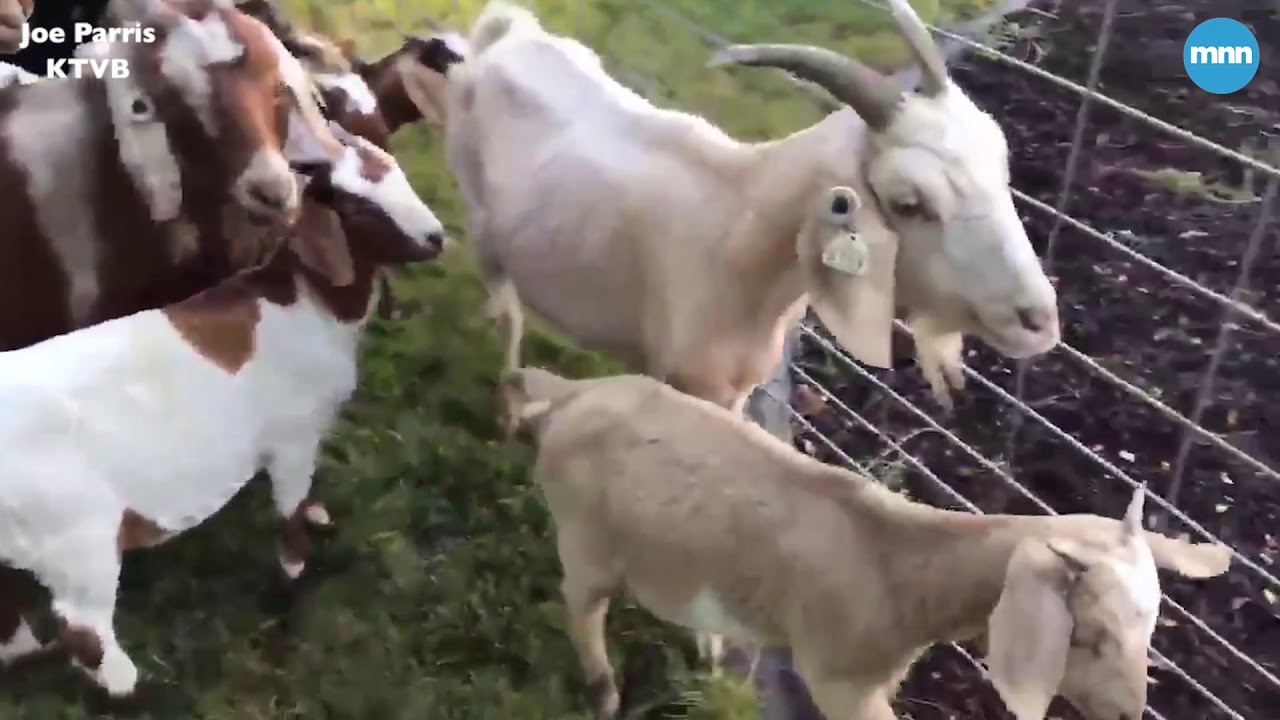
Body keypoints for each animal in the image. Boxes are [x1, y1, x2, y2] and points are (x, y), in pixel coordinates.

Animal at [0, 125, 445, 705]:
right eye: (356, 205)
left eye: (390, 168)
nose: (436, 237)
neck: (307, 302)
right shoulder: (291, 436)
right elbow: (288, 508)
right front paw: (294, 572)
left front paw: (318, 519)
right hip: (77, 535)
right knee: (84, 628)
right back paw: (135, 691)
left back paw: (23, 652)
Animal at [414, 0, 1059, 414]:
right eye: (909, 202)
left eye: (1002, 165)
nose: (1039, 320)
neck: (735, 238)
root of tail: (508, 33)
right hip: (480, 214)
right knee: (505, 310)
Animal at [502, 365, 1232, 720]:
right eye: (1088, 635)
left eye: (1152, 626)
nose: (1130, 712)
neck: (903, 569)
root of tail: (567, 397)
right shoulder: (837, 677)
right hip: (584, 540)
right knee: (581, 608)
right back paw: (604, 696)